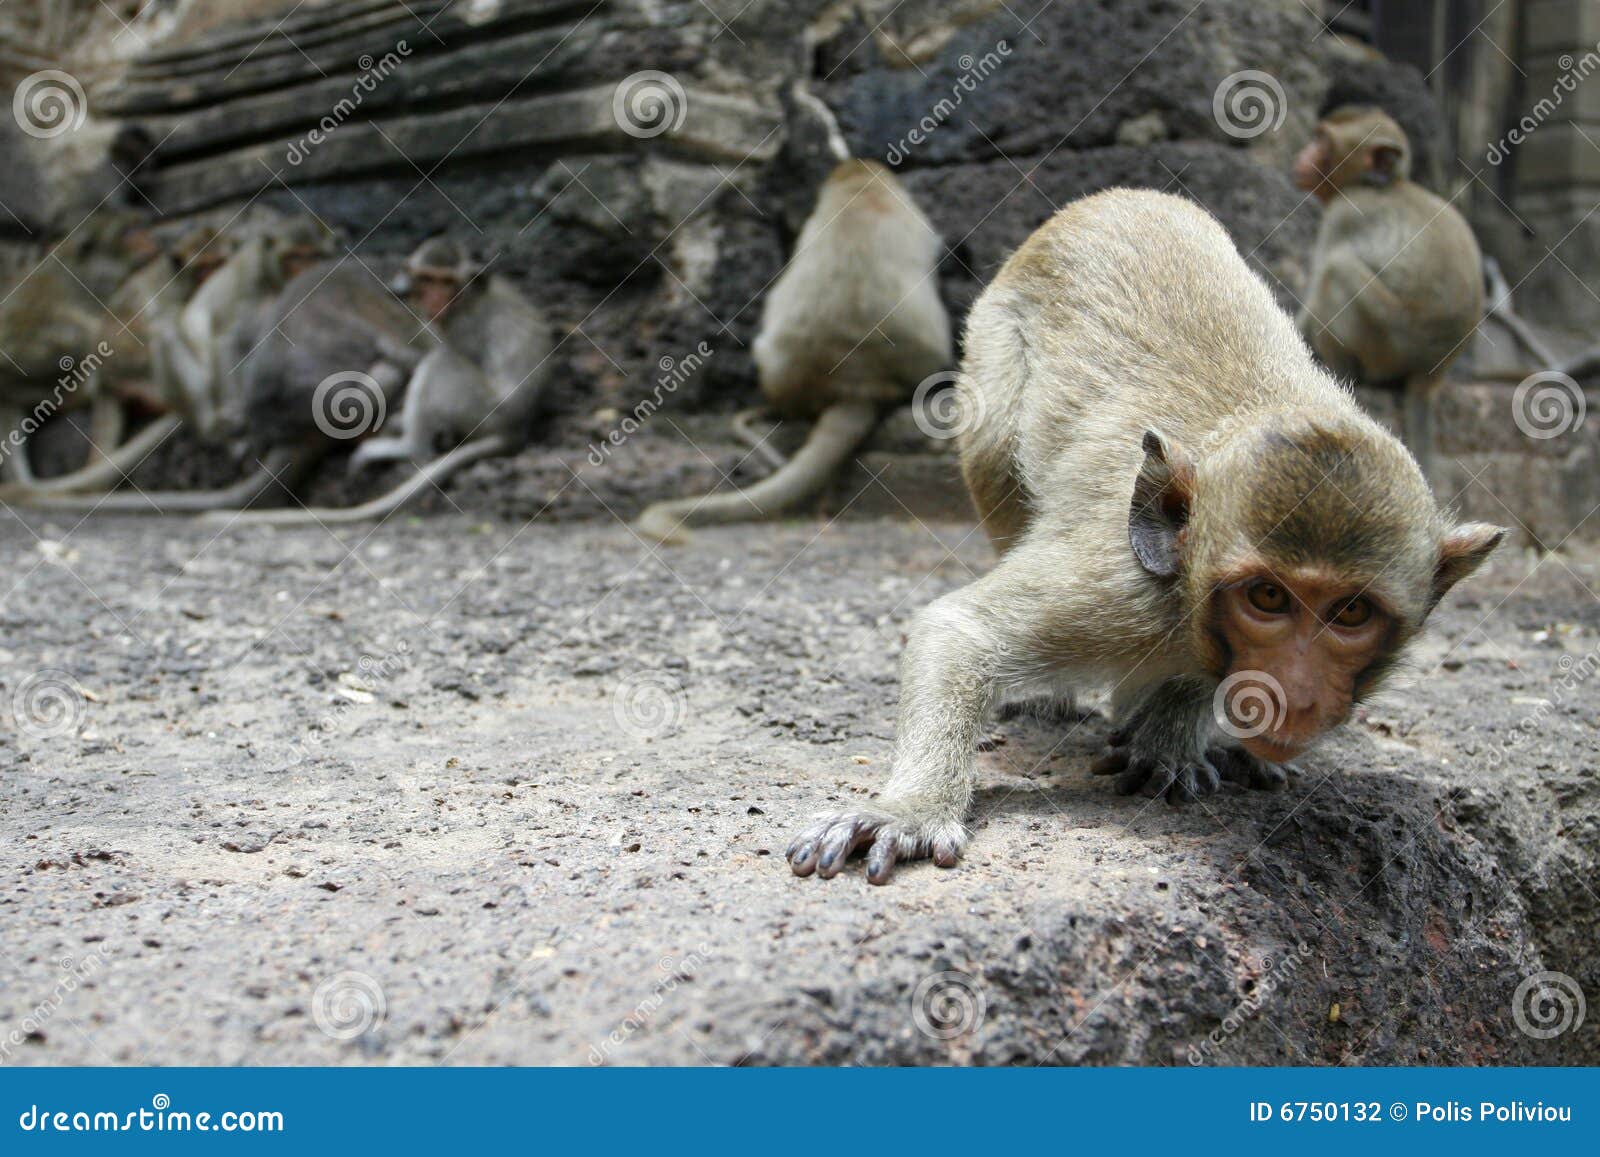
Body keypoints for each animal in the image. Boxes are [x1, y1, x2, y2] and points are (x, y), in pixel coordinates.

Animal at [209, 236, 552, 527]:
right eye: (426, 280)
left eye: (444, 282)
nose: (432, 298)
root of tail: (517, 430)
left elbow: (414, 353)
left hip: (486, 410)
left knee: (432, 364)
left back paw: (406, 444)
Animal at [787, 189, 1504, 885]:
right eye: (1267, 599)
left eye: (1351, 612)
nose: (1293, 694)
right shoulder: (1121, 587)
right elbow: (961, 632)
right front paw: (909, 809)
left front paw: (1171, 732)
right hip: (992, 342)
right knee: (996, 460)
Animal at [1291, 106, 1483, 481]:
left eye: (1322, 139)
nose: (1304, 153)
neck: (1381, 184)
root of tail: (1432, 372)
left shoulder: (1344, 213)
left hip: (1387, 341)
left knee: (1337, 269)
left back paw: (1340, 371)